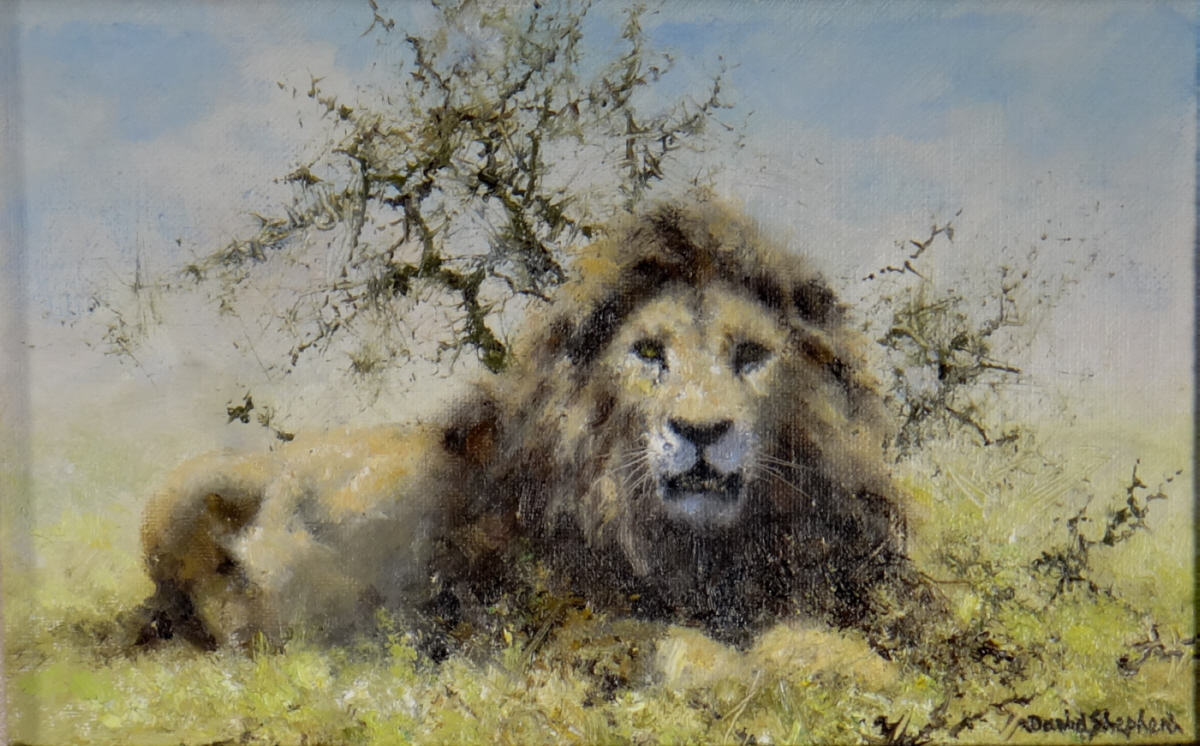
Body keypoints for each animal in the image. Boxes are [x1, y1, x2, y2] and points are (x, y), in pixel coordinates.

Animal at [138, 200, 932, 654]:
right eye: (648, 353)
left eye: (752, 357)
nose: (701, 430)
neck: (705, 551)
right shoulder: (542, 624)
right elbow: (691, 654)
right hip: (179, 491)